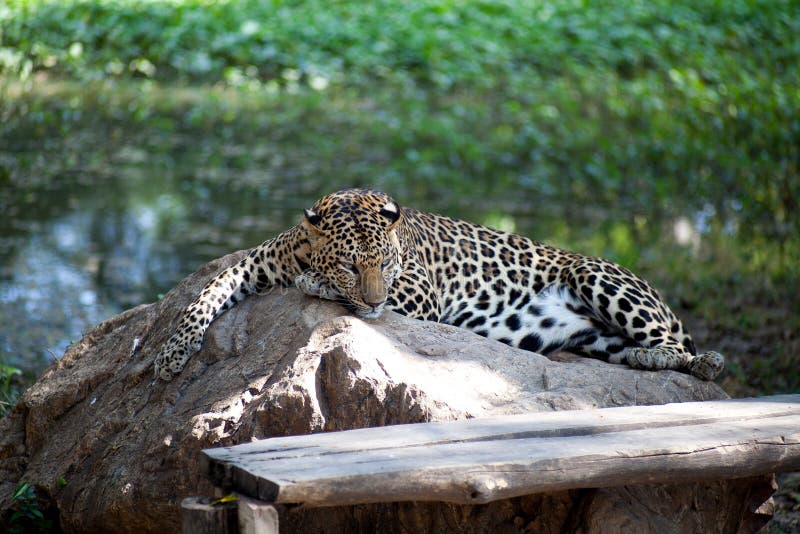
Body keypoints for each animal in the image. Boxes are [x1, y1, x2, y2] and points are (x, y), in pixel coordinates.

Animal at [153, 188, 724, 382]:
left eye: (385, 264)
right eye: (350, 265)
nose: (373, 300)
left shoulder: (418, 293)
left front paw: (314, 282)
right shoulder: (252, 262)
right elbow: (206, 292)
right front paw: (171, 354)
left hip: (597, 276)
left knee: (683, 351)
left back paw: (680, 358)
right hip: (595, 337)